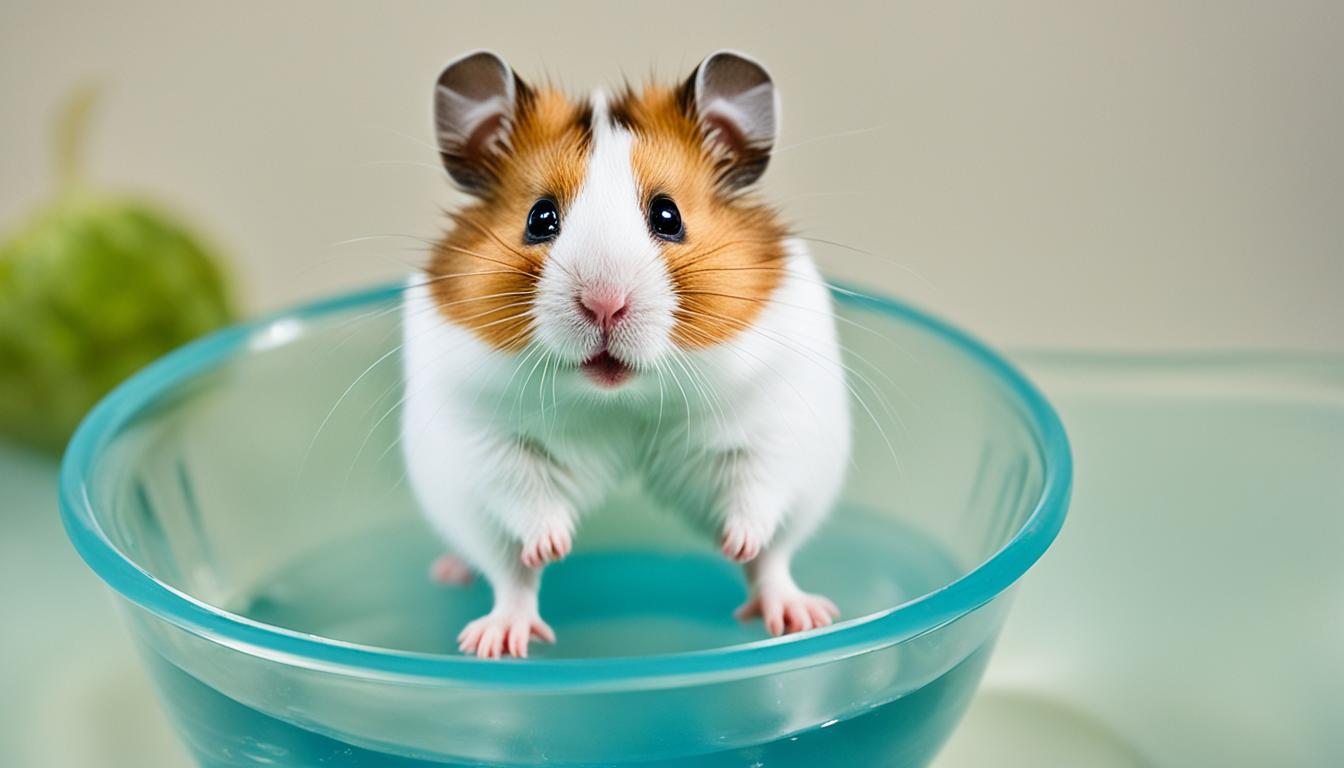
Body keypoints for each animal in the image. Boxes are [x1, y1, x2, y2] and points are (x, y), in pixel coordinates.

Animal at [400, 49, 851, 658]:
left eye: (668, 215)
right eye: (540, 218)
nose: (604, 305)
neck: (622, 396)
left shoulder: (769, 427)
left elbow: (754, 492)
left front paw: (733, 543)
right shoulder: (487, 442)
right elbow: (526, 501)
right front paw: (555, 547)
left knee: (774, 564)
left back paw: (803, 618)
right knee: (509, 577)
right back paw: (489, 635)